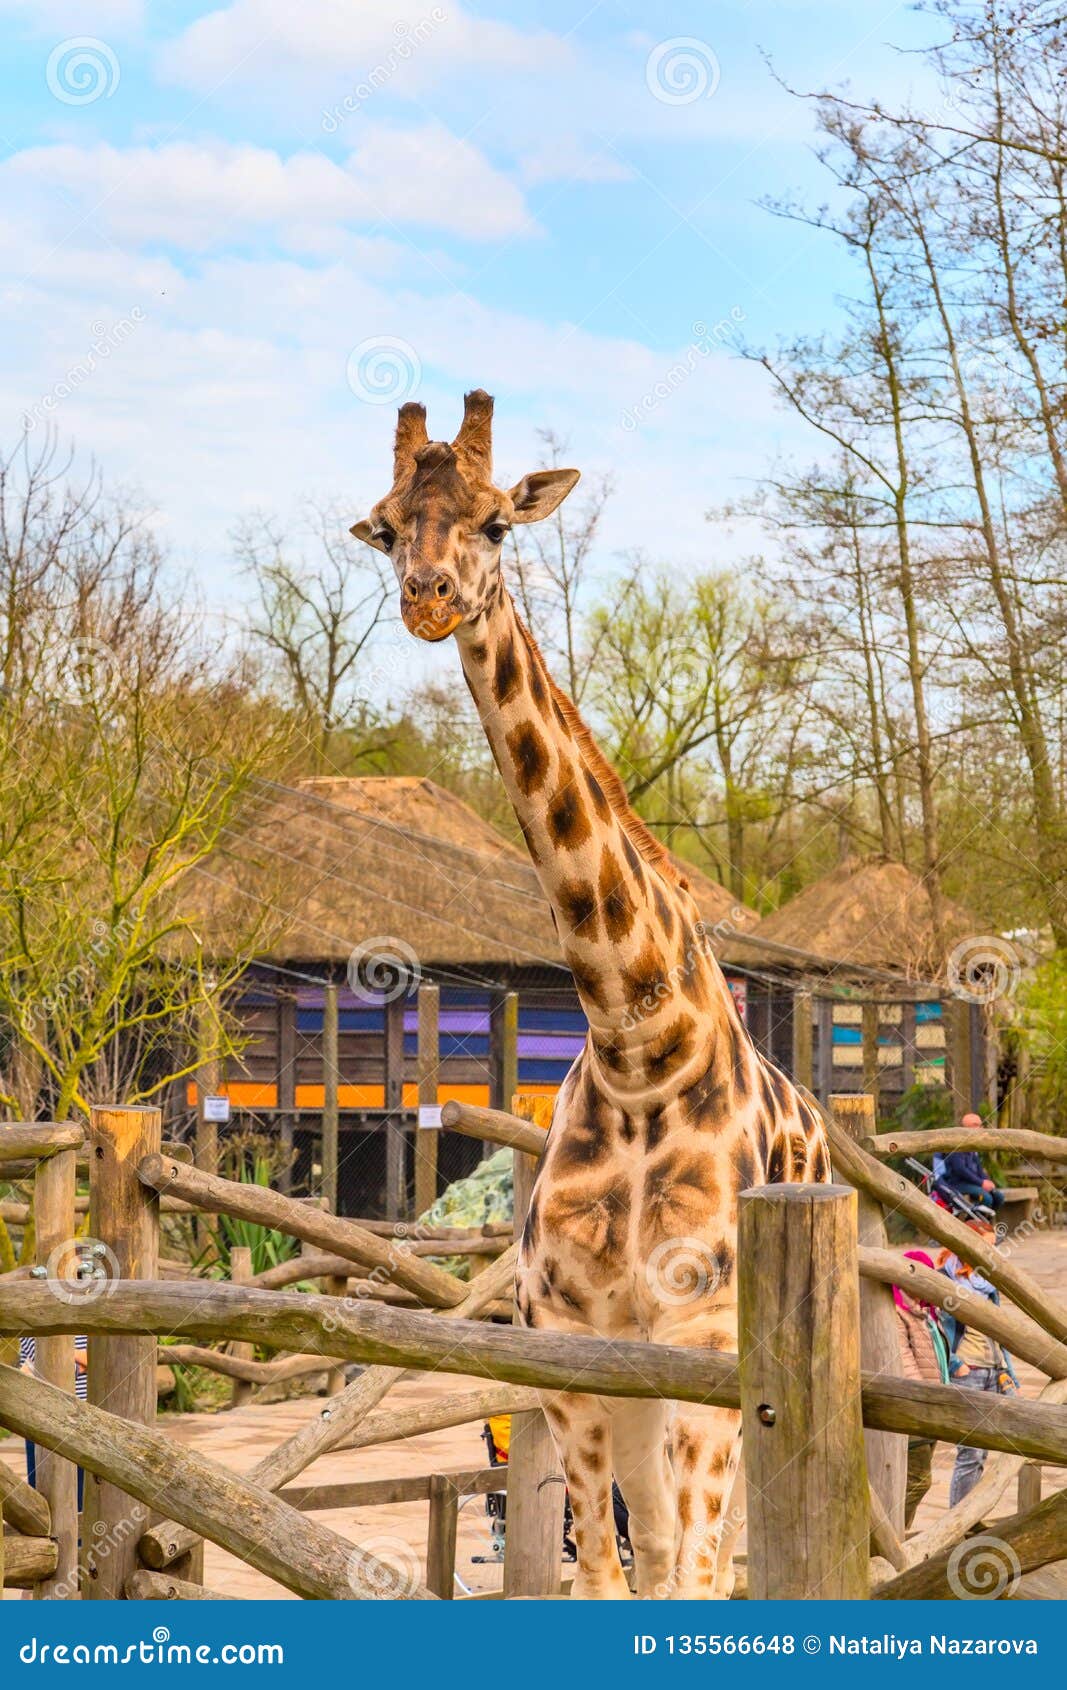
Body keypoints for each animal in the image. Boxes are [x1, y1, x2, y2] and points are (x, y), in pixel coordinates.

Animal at [351, 390, 831, 1599]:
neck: (636, 1042)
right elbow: (610, 1575)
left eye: (495, 522)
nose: (429, 597)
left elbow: (695, 1581)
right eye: (386, 527)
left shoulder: (707, 1343)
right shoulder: (572, 1351)